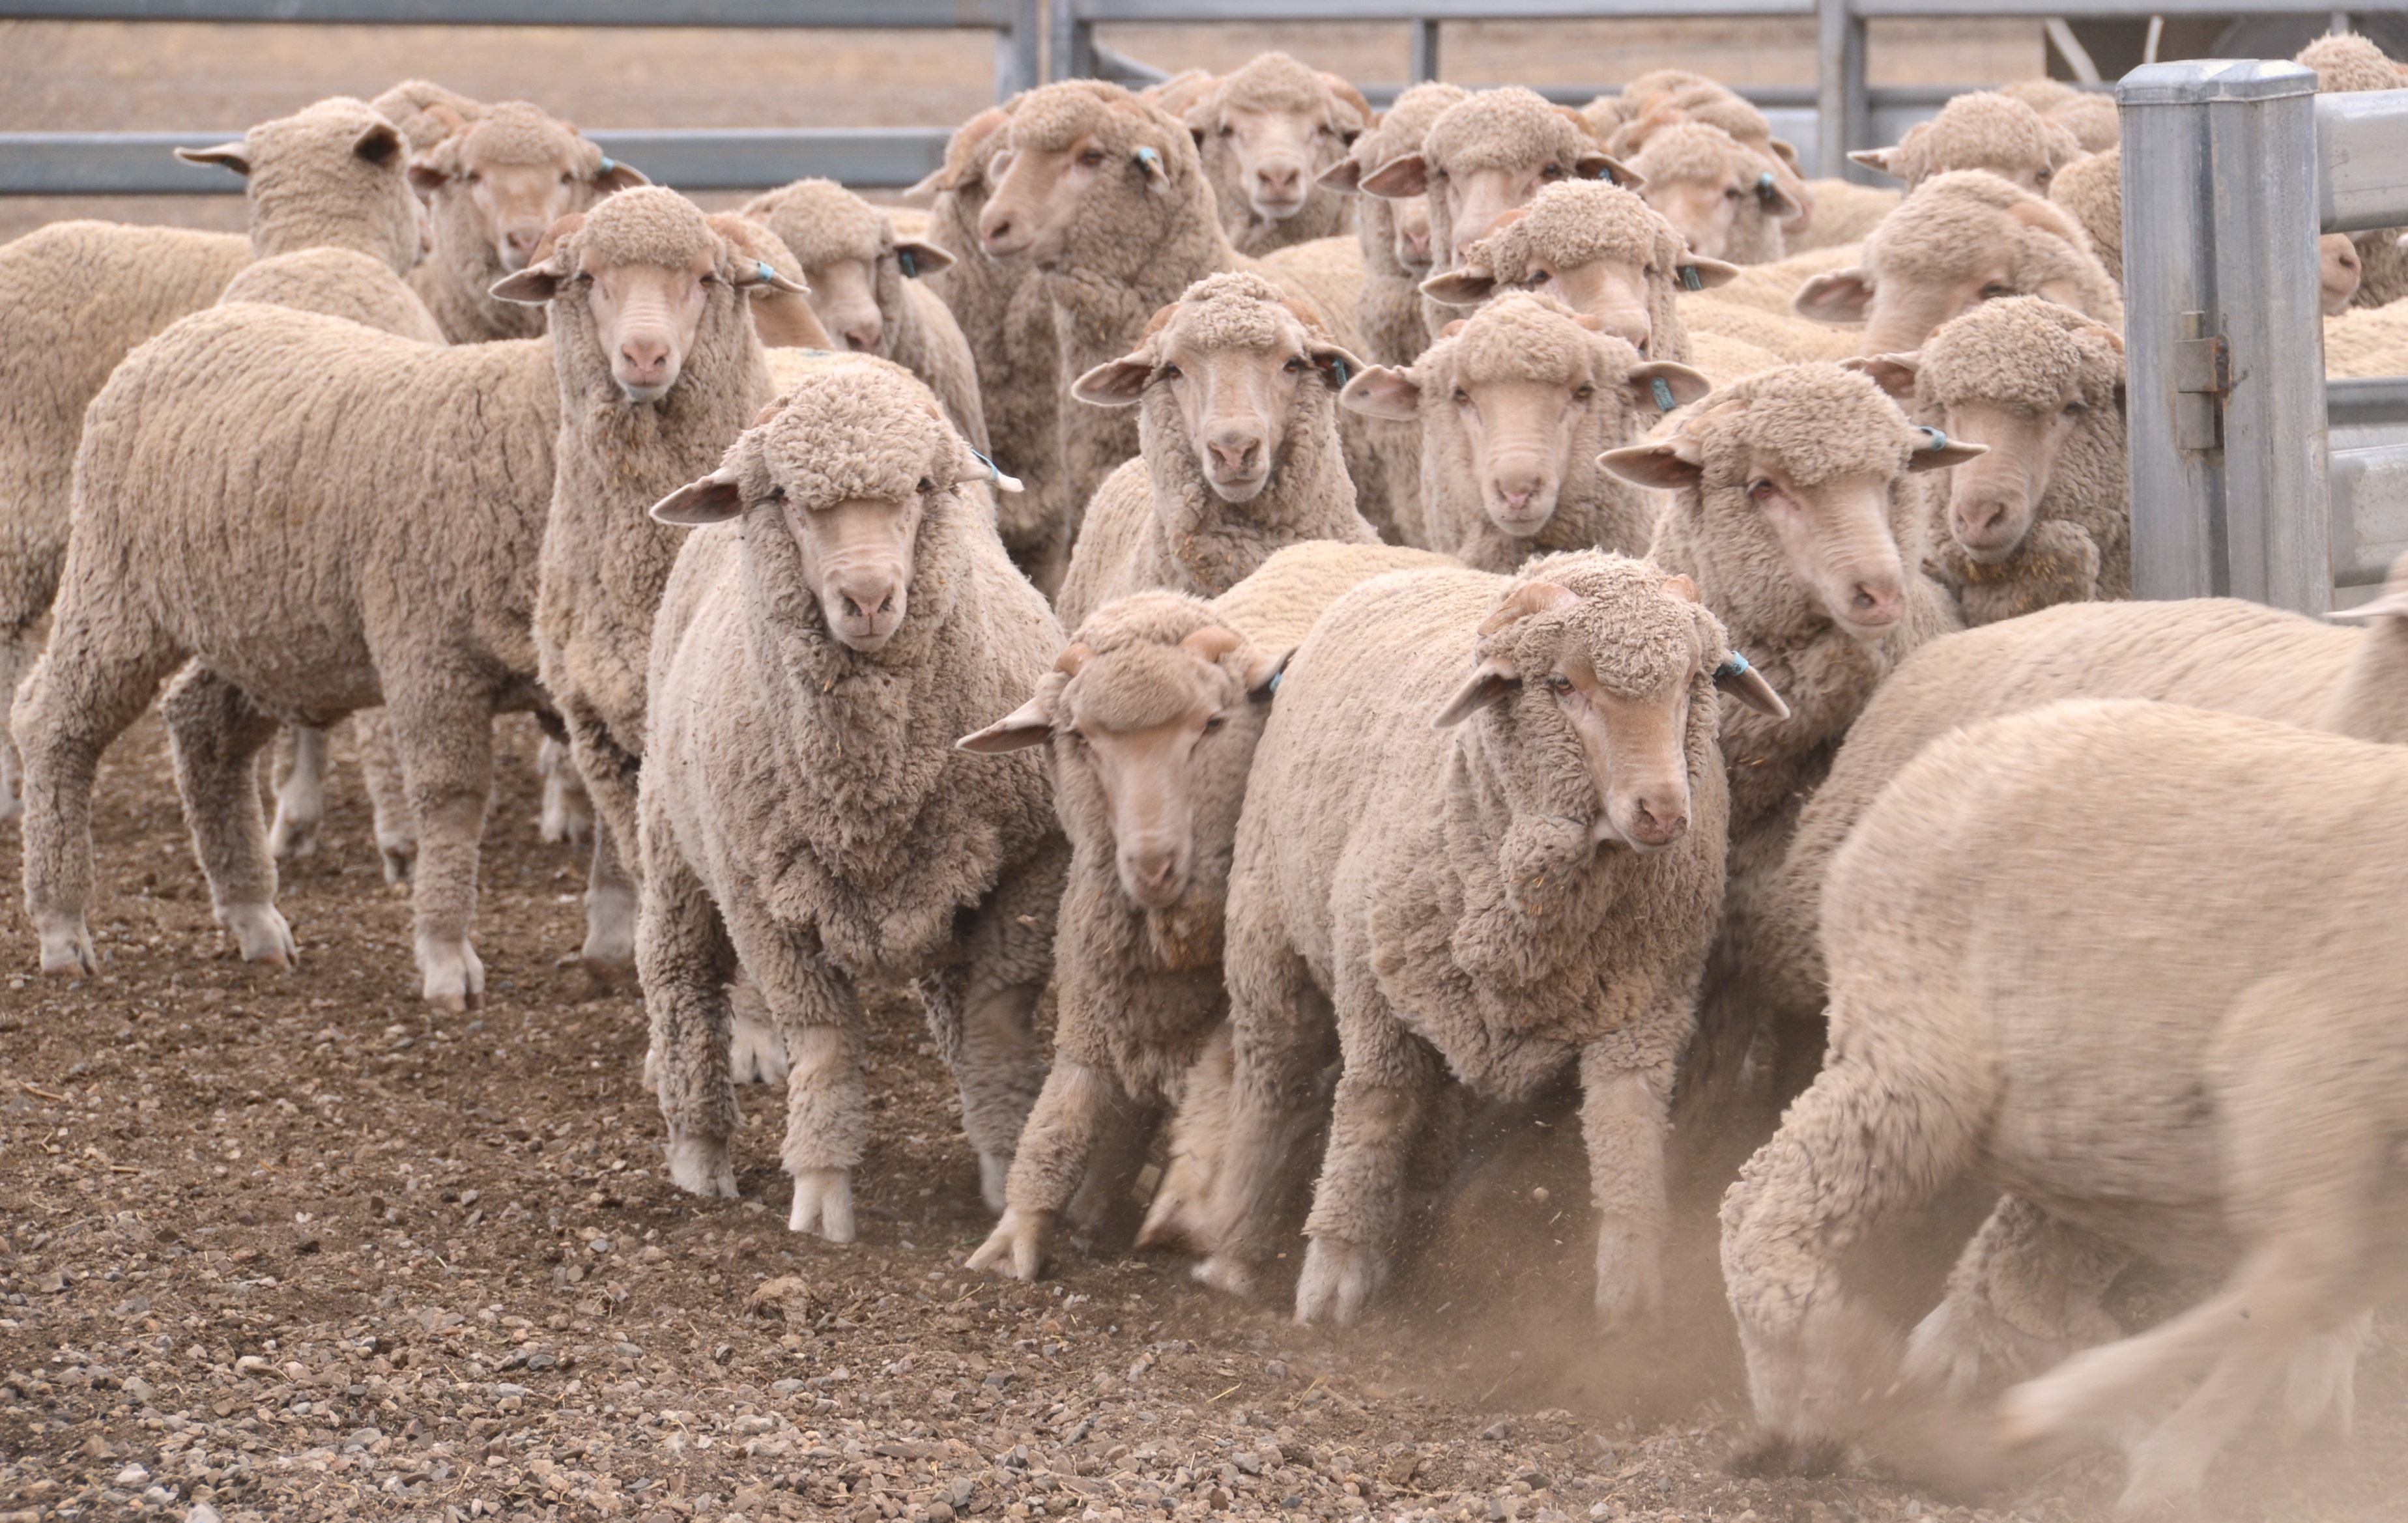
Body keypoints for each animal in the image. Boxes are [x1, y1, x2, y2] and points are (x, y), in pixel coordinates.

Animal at [11, 214, 810, 1009]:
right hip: (114, 592)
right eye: (585, 278)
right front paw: (447, 958)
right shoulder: (430, 652)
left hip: (267, 636)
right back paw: (61, 925)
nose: (645, 356)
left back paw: (253, 919)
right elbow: (451, 802)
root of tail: (179, 334)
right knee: (54, 724)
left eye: (708, 278)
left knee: (202, 727)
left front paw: (613, 941)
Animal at [637, 362, 1065, 1232]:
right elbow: (824, 1039)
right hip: (675, 844)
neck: (868, 794)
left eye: (922, 487)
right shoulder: (759, 899)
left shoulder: (1026, 873)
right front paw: (821, 1193)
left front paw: (1006, 1167)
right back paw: (698, 1157)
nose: (867, 600)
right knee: (681, 984)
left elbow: (993, 1029)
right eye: (786, 497)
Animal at [957, 539, 1454, 1280]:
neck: (1168, 935)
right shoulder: (1094, 994)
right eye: (1080, 738)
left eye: (1212, 725)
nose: (1152, 865)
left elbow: (1226, 1092)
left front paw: (1187, 1205)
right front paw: (1019, 1231)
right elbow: (1065, 1111)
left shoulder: (1243, 995)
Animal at [1190, 552, 1788, 1325]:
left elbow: (1626, 1129)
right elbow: (1376, 1108)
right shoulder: (1373, 978)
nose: (1662, 813)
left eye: (1694, 683)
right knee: (1274, 1071)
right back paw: (1235, 1242)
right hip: (1268, 923)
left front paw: (1631, 1290)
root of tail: (1390, 564)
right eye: (1562, 685)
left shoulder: (1645, 1004)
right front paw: (1335, 1272)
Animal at [1720, 697, 2408, 1514]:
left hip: (2072, 1136)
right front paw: (2156, 1459)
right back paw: (1811, 1400)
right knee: (1762, 1208)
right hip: (1913, 1055)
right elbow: (2300, 1278)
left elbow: (2319, 1285)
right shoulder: (2303, 1056)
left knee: (2006, 1276)